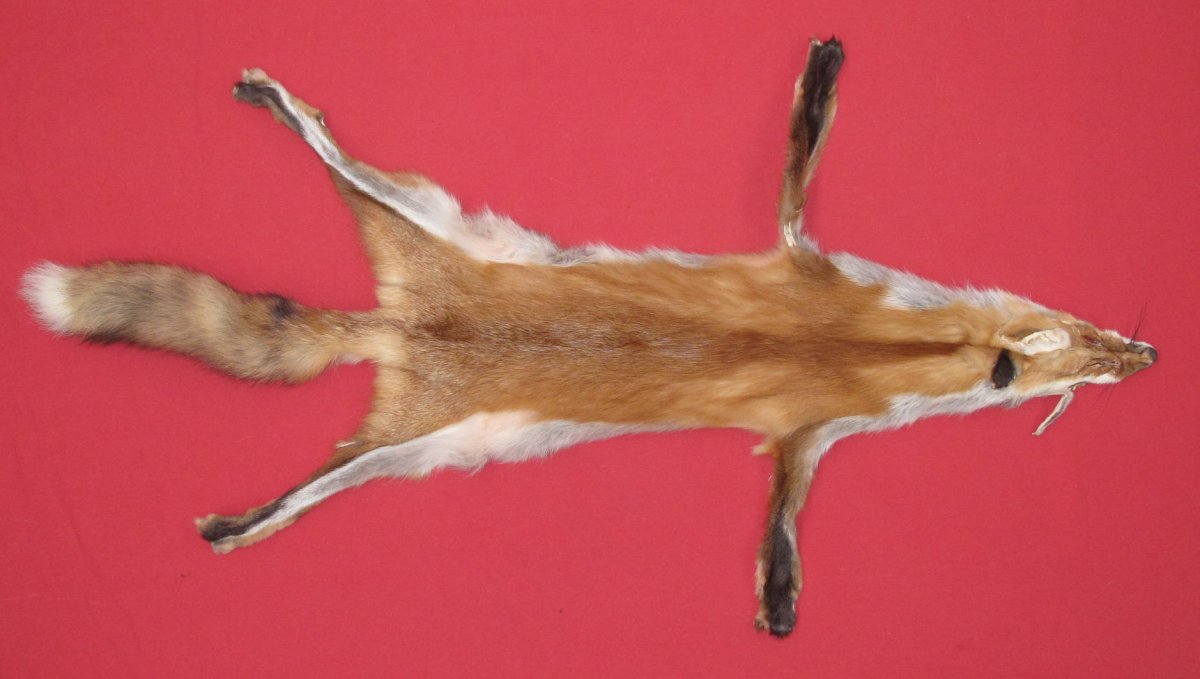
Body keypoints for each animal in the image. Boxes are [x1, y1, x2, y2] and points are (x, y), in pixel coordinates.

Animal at [20, 38, 1157, 637]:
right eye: (1082, 349)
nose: (1145, 354)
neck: (878, 348)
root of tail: (394, 328)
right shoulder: (806, 335)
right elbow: (799, 168)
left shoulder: (812, 353)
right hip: (423, 394)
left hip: (406, 371)